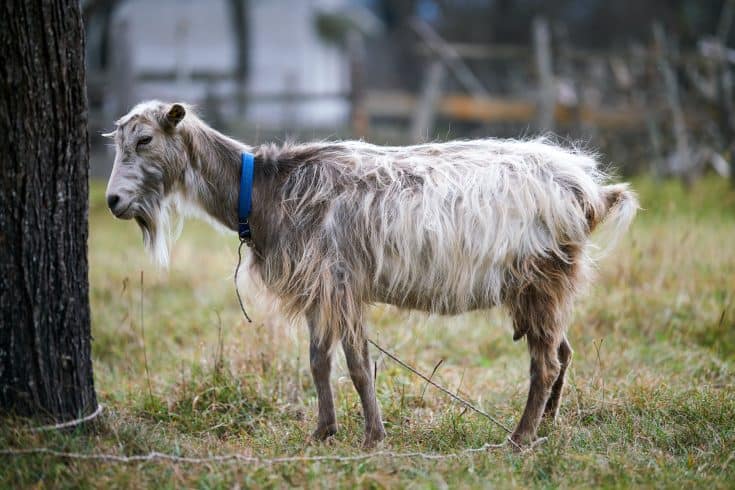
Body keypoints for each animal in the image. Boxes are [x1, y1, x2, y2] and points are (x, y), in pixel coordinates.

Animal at [104, 101, 638, 448]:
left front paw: (372, 437)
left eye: (145, 139)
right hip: (543, 286)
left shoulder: (340, 281)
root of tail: (589, 191)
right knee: (562, 353)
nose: (112, 200)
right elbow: (318, 361)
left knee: (544, 363)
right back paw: (545, 427)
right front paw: (323, 432)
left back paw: (518, 439)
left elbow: (359, 363)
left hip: (544, 276)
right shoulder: (320, 287)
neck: (266, 189)